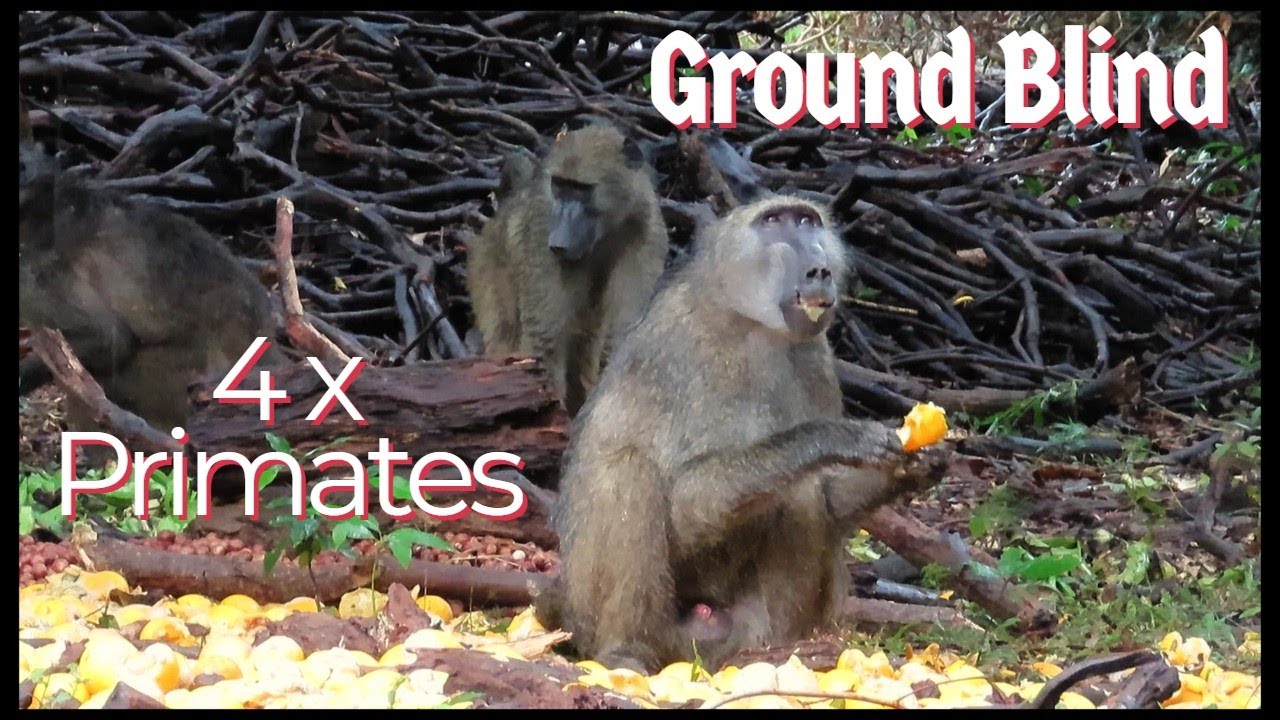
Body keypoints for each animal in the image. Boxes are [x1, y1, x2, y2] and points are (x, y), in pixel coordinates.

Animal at [466, 123, 670, 416]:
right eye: (560, 185)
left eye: (582, 189)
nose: (559, 241)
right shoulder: (541, 233)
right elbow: (544, 340)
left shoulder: (646, 234)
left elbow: (621, 335)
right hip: (488, 264)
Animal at [535, 196, 950, 674]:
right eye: (773, 222)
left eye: (807, 222)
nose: (818, 269)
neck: (752, 323)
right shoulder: (691, 350)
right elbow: (689, 503)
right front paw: (834, 437)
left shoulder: (816, 357)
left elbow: (825, 495)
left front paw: (918, 466)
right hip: (604, 609)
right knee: (628, 474)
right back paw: (625, 651)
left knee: (801, 495)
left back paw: (793, 646)